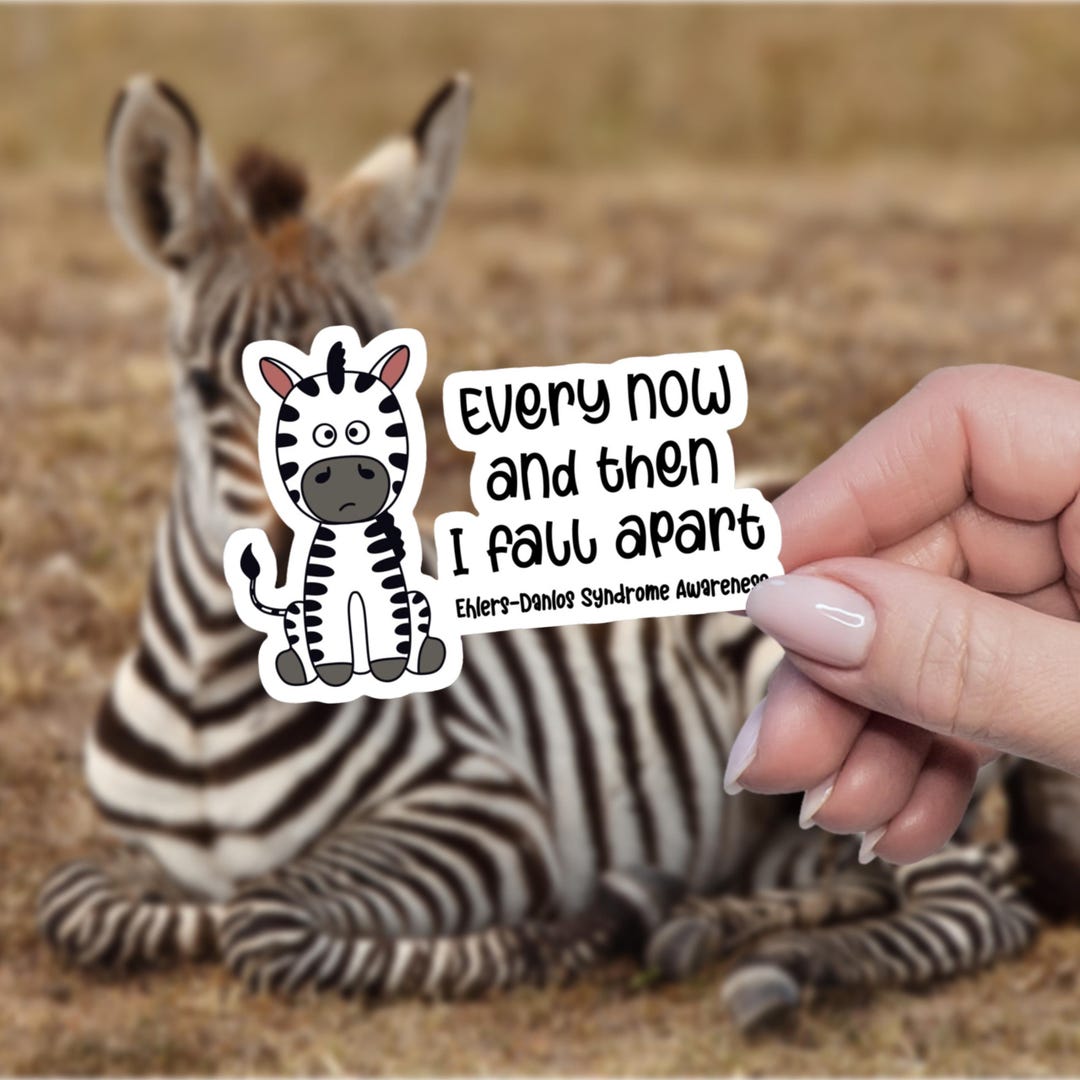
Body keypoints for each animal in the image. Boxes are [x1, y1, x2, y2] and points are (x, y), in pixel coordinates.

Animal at [34, 72, 1076, 1030]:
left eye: (386, 381)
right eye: (206, 385)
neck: (210, 701)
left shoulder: (485, 805)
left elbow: (259, 921)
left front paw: (568, 932)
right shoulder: (130, 853)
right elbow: (74, 900)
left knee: (976, 902)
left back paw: (778, 966)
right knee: (869, 875)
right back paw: (697, 920)